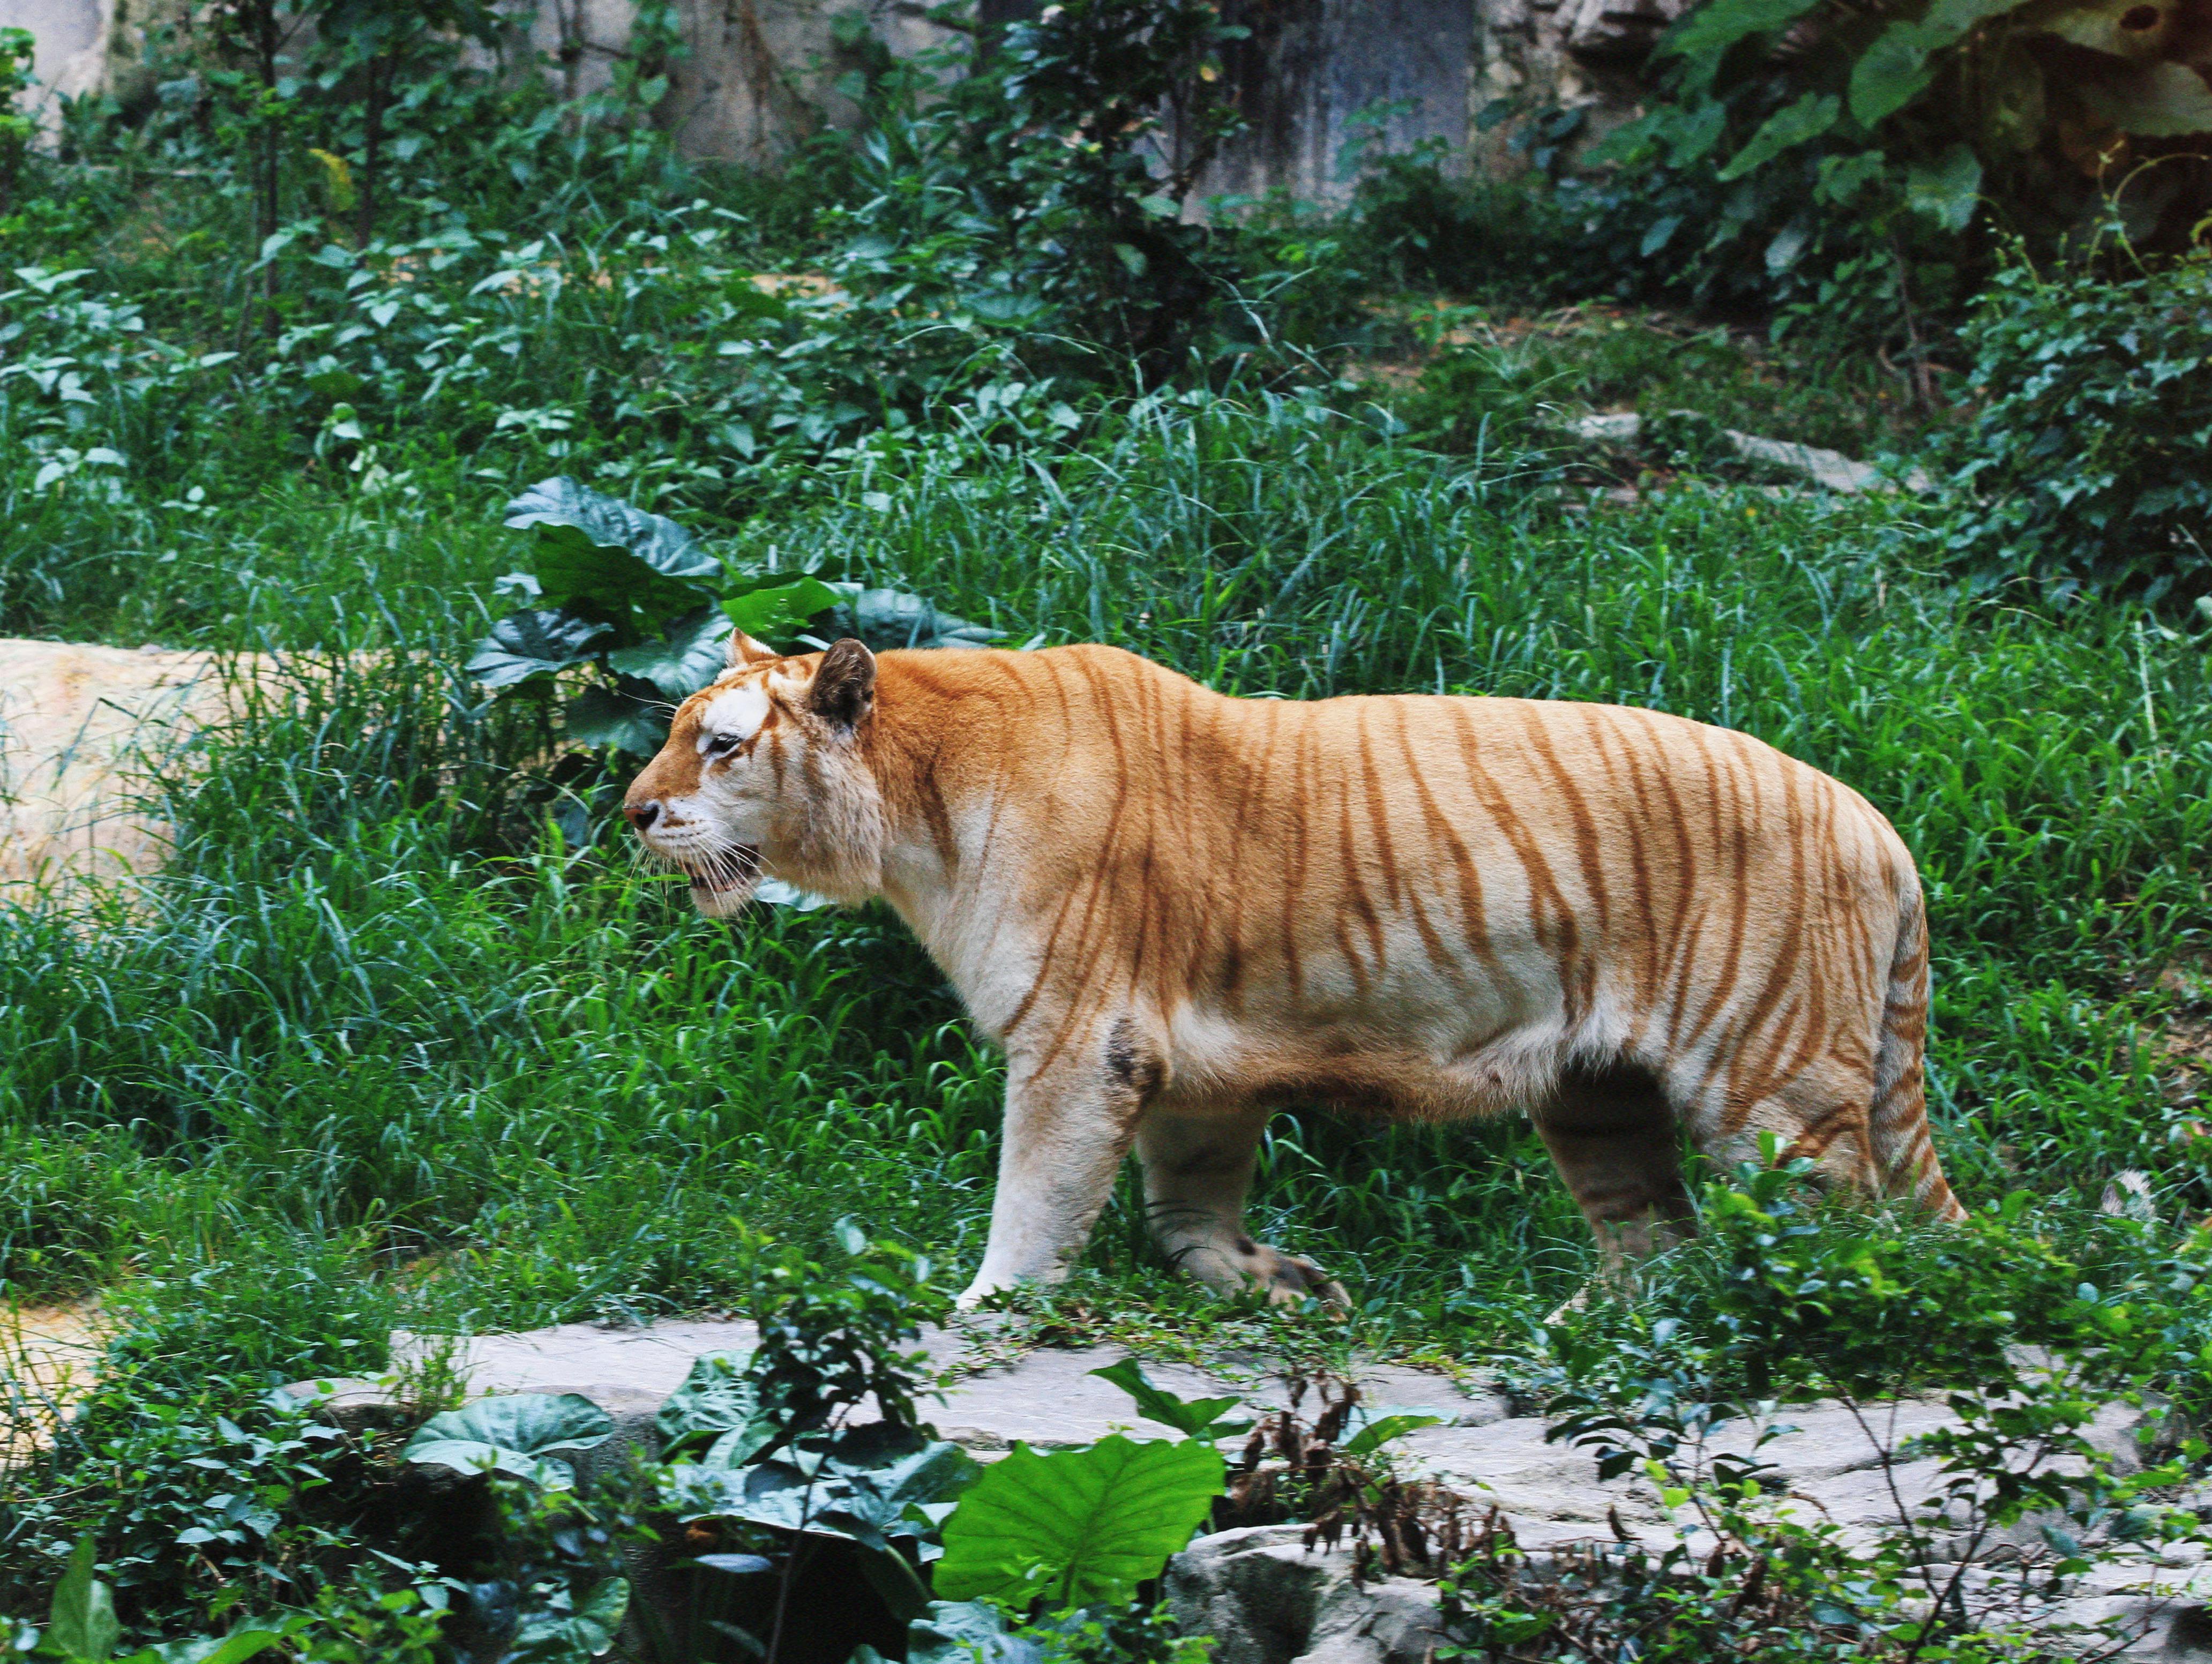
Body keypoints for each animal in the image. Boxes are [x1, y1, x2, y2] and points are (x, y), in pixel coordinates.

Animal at [623, 631, 1964, 1308]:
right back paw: (1594, 1332)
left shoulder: (1076, 1034)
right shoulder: (1187, 1059)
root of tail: (1883, 828)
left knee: (1842, 1222)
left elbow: (1036, 1191)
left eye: (720, 744)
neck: (914, 816)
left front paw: (985, 1304)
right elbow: (1187, 1195)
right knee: (1659, 1240)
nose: (632, 812)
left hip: (1769, 1085)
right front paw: (1263, 1275)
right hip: (1599, 1099)